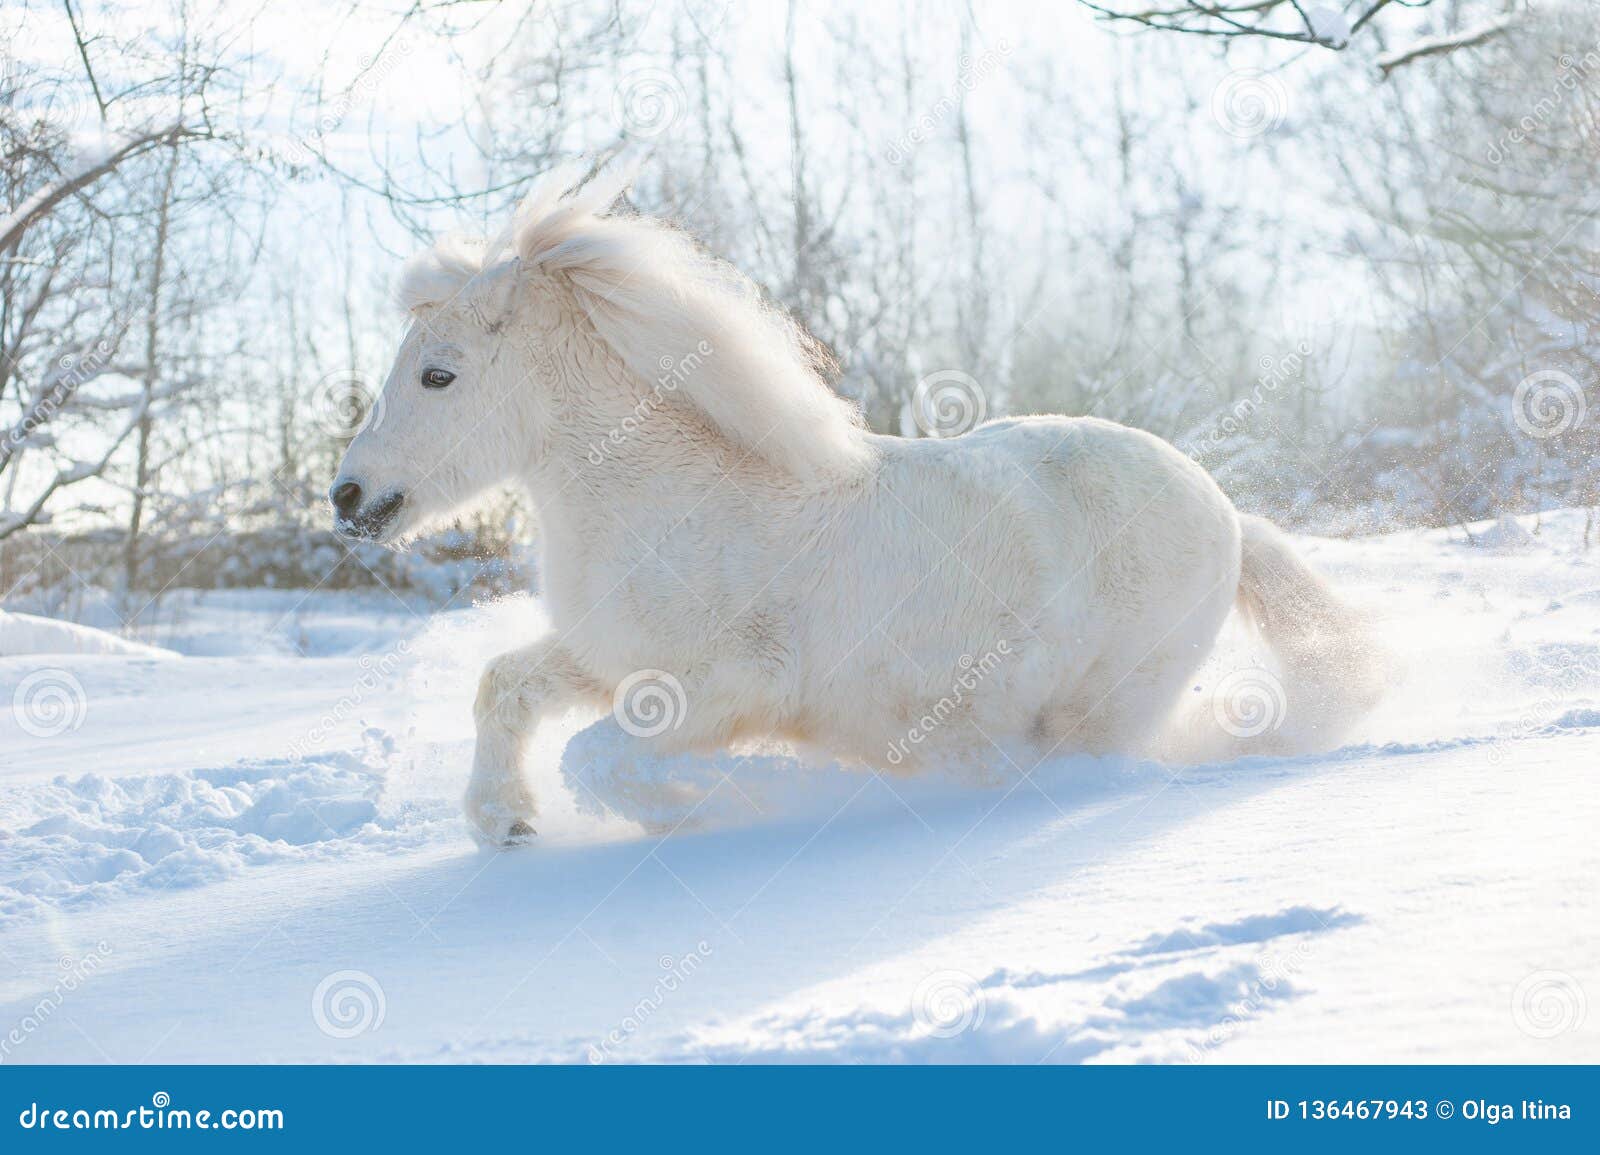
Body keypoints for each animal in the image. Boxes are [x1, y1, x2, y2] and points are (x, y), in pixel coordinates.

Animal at [330, 165, 1385, 845]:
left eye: (437, 375)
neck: (669, 497)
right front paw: (503, 823)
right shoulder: (611, 660)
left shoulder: (731, 682)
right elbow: (503, 685)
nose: (348, 497)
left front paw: (720, 807)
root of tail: (1229, 516)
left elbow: (597, 759)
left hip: (1109, 704)